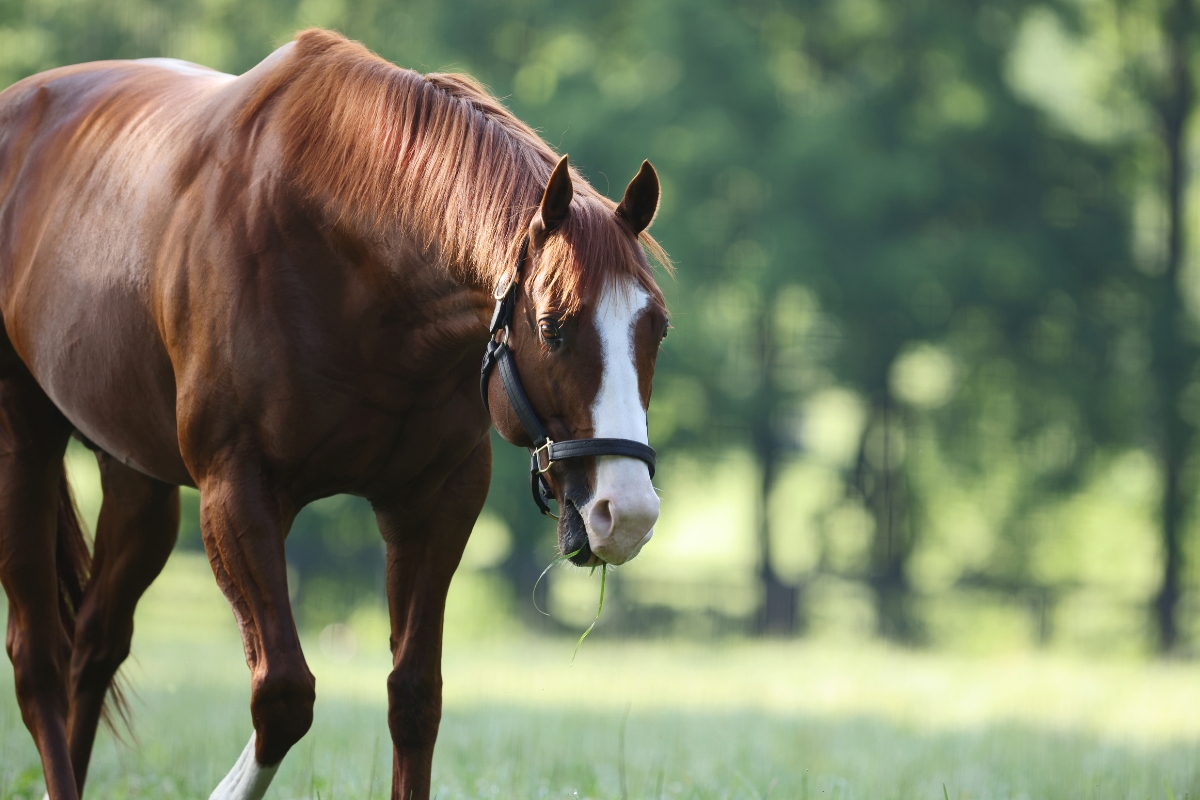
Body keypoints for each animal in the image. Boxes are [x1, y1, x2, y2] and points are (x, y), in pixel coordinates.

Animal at [0, 28, 670, 800]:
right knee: (38, 660)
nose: (628, 511)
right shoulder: (238, 496)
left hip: (137, 477)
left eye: (656, 328)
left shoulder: (434, 503)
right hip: (23, 445)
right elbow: (283, 695)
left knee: (94, 646)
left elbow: (415, 697)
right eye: (554, 327)